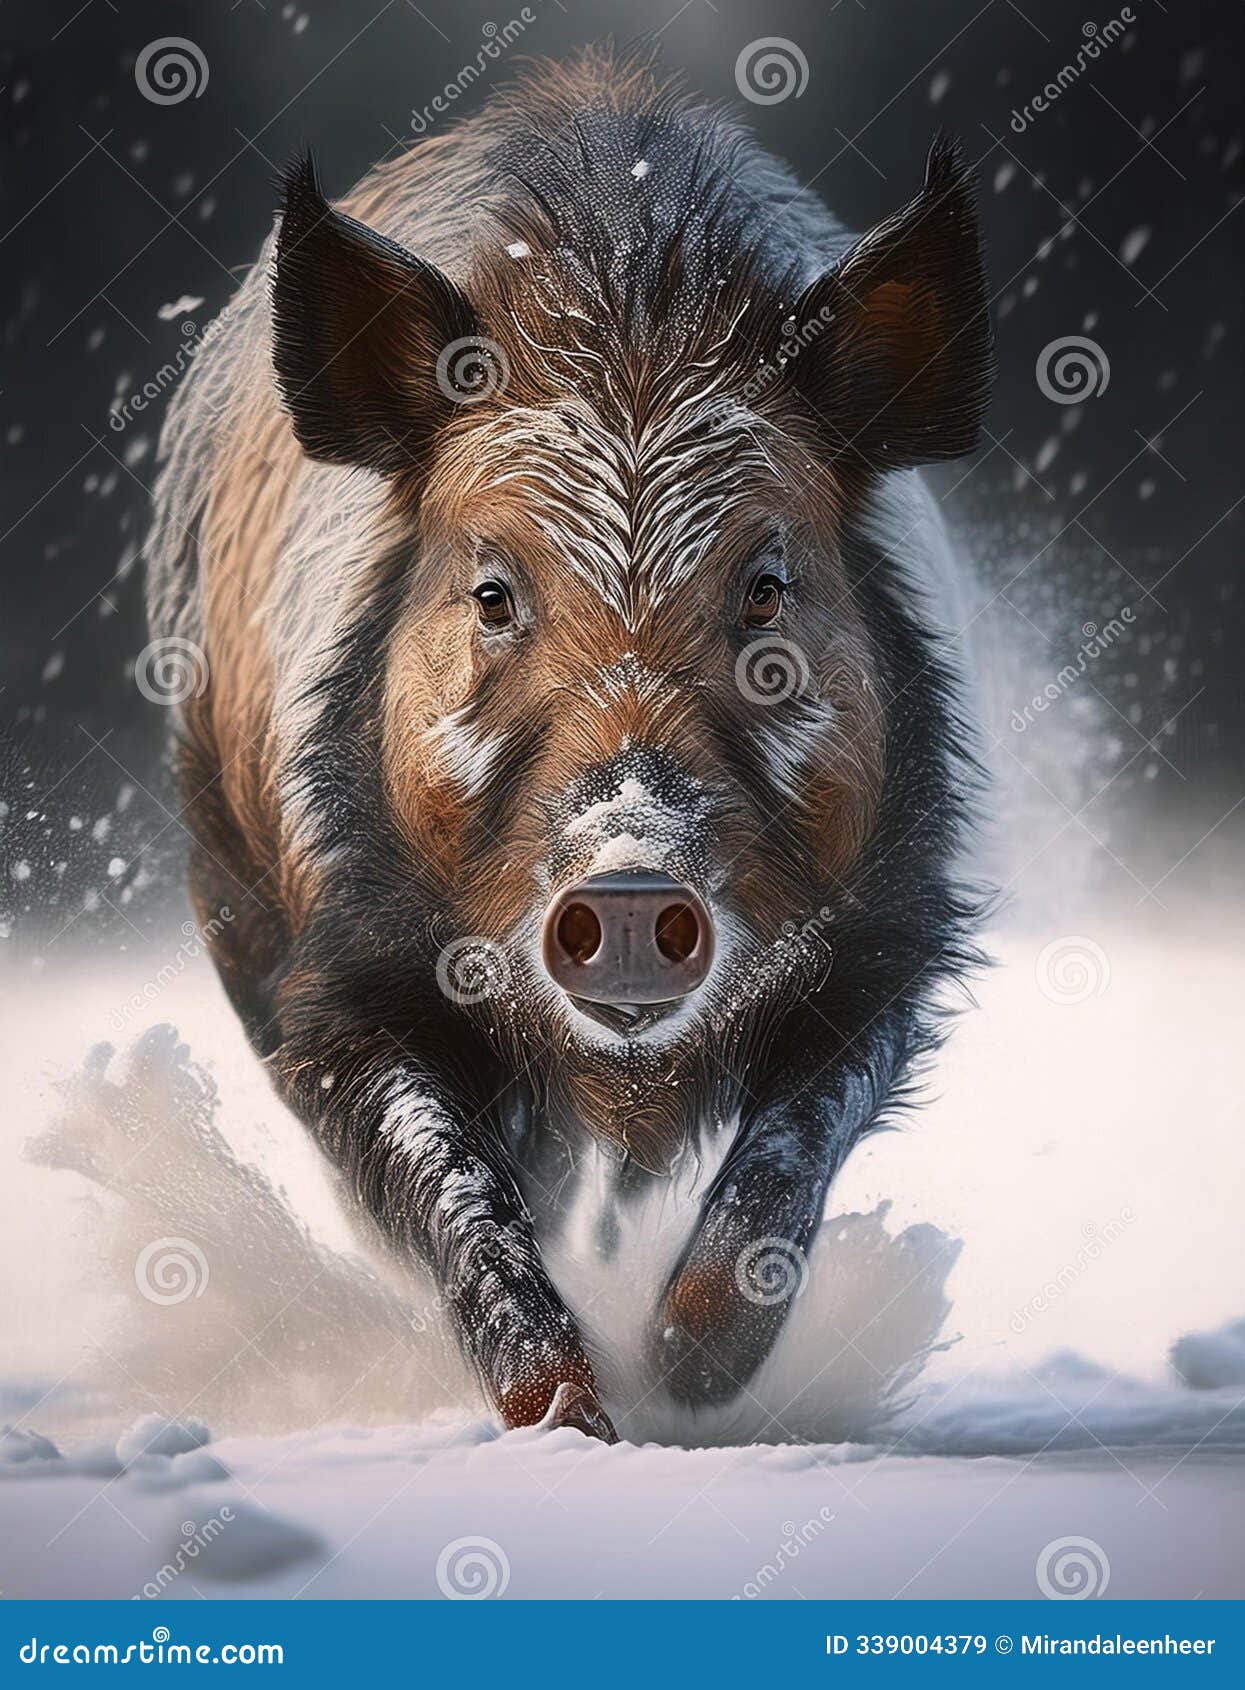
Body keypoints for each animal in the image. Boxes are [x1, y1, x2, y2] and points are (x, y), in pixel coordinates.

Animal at [145, 48, 992, 1443]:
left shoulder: (890, 945)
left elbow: (784, 1151)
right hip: (226, 878)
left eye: (766, 584)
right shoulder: (339, 973)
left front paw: (687, 1376)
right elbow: (455, 1185)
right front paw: (570, 1418)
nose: (632, 881)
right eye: (494, 592)